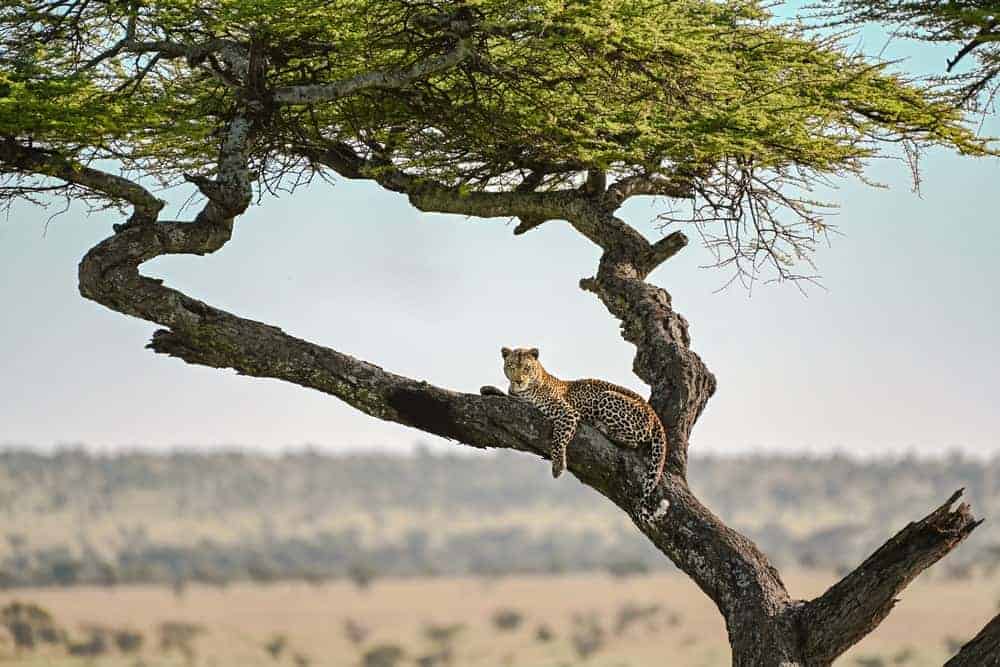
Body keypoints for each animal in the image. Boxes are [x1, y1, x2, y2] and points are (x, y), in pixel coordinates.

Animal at [501, 346, 667, 502]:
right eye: (511, 366)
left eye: (526, 368)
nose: (518, 381)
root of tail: (653, 414)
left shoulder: (568, 413)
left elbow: (558, 439)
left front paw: (558, 466)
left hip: (607, 397)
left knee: (633, 441)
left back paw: (602, 427)